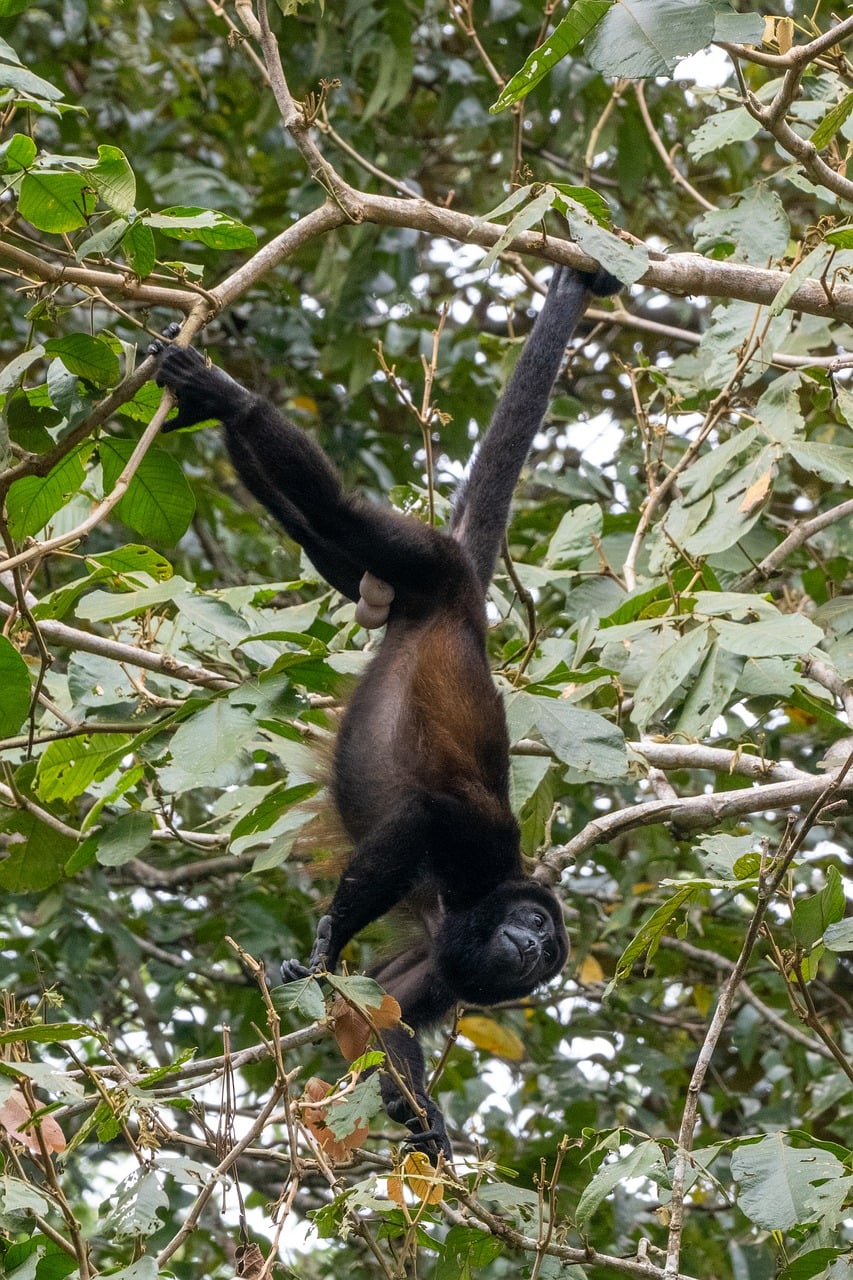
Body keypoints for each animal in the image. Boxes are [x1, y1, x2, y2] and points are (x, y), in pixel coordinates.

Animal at [151, 261, 621, 1160]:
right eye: (535, 929)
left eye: (545, 955)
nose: (531, 946)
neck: (472, 914)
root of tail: (469, 604)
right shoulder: (480, 845)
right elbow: (423, 819)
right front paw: (324, 944)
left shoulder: (442, 966)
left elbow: (377, 1006)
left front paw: (423, 1118)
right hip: (431, 566)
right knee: (336, 509)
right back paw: (231, 400)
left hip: (389, 586)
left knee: (321, 539)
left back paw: (214, 416)